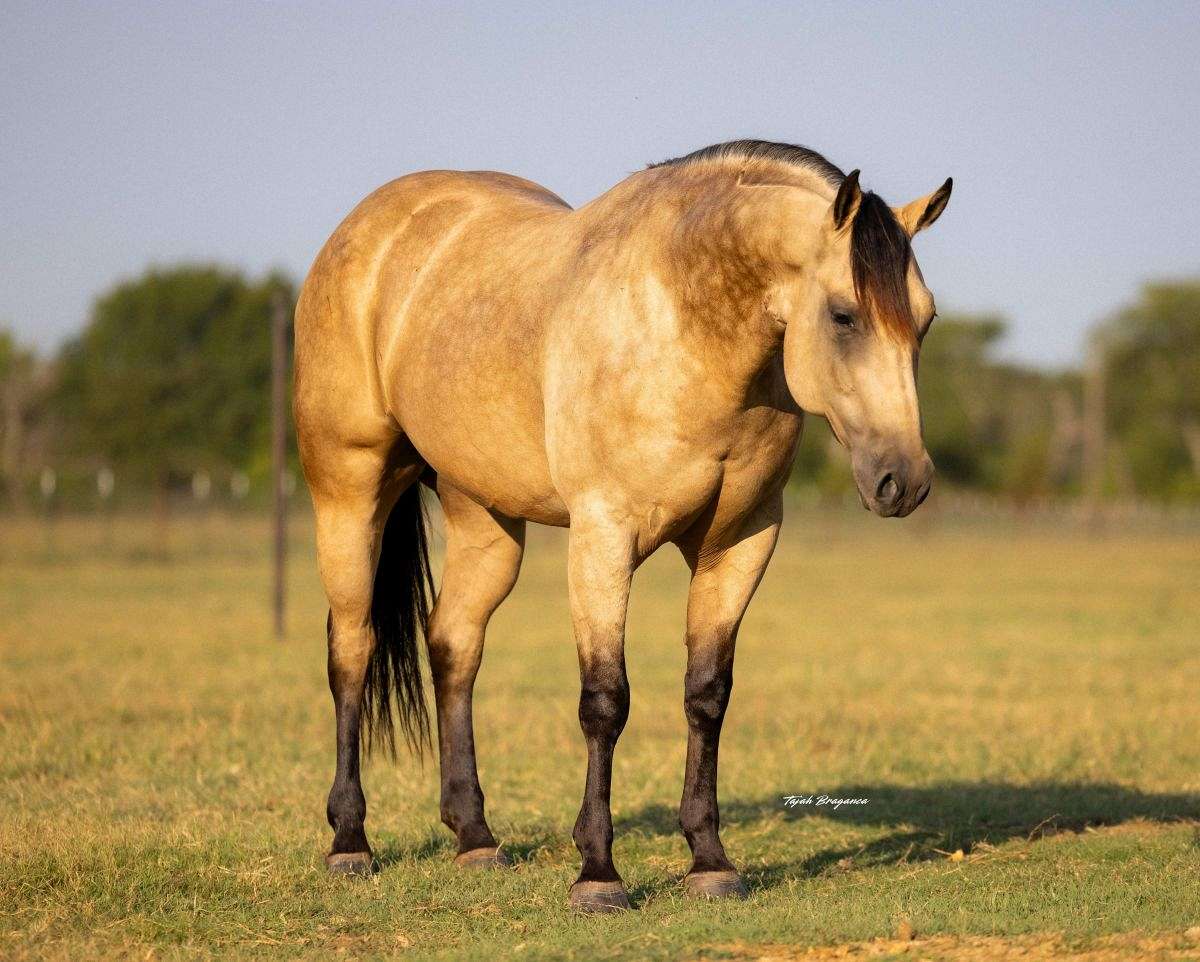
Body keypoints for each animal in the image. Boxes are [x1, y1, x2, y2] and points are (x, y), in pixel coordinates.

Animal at [293, 139, 952, 912]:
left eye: (925, 320)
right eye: (845, 315)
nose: (904, 481)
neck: (683, 328)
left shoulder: (740, 540)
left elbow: (706, 694)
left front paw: (709, 861)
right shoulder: (603, 536)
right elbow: (605, 701)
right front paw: (598, 874)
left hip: (485, 521)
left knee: (454, 646)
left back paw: (476, 838)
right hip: (349, 492)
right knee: (352, 650)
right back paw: (350, 842)